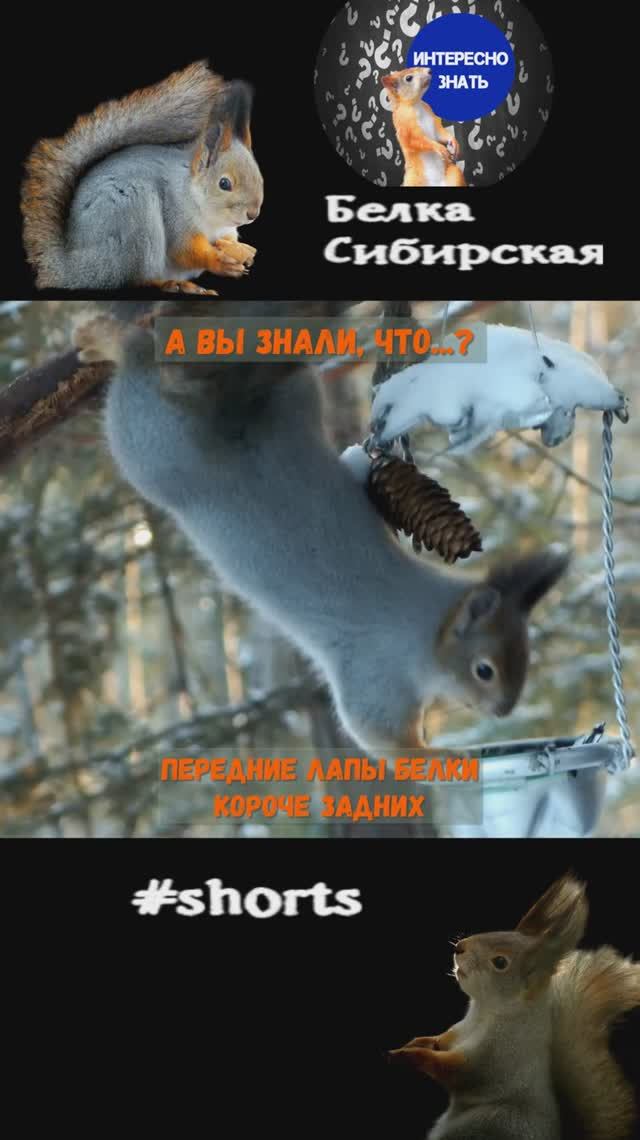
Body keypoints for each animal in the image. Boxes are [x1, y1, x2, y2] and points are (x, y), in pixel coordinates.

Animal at [21, 62, 263, 294]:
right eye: (224, 183)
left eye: (260, 179)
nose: (252, 214)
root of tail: (72, 267)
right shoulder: (176, 216)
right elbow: (184, 250)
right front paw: (220, 262)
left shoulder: (225, 230)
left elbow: (227, 240)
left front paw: (240, 250)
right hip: (135, 218)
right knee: (138, 279)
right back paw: (176, 285)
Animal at [71, 302, 568, 758]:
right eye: (484, 669)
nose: (504, 711)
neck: (427, 626)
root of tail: (223, 415)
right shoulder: (377, 676)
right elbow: (382, 738)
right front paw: (442, 754)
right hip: (145, 446)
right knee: (137, 359)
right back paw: (110, 339)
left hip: (295, 393)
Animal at [390, 875, 640, 1140]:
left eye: (500, 962)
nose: (460, 947)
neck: (486, 1011)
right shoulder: (460, 1030)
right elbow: (441, 1040)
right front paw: (417, 1042)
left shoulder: (497, 1055)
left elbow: (456, 1071)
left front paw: (409, 1055)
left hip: (488, 1123)